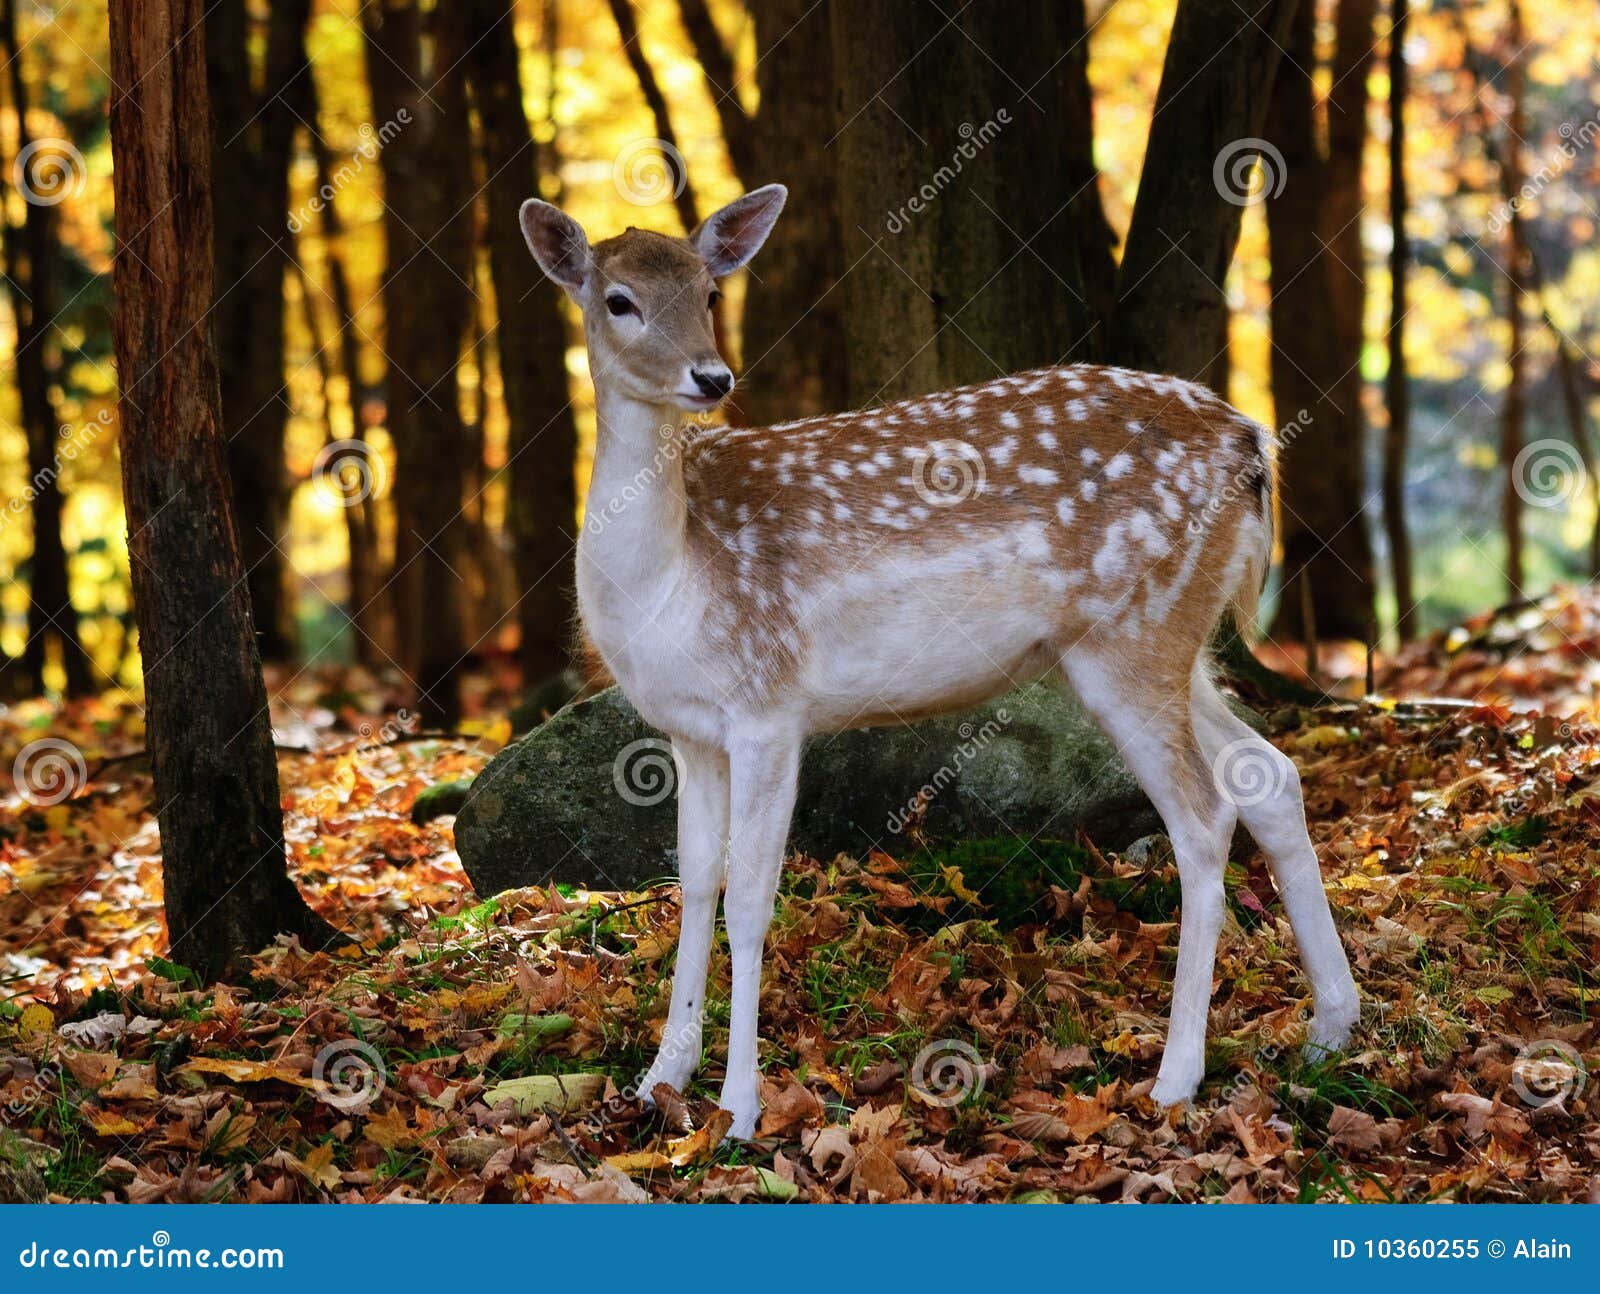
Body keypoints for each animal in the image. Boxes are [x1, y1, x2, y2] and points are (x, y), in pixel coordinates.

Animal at [518, 184, 1360, 1139]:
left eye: (707, 292)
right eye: (619, 300)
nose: (712, 377)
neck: (672, 581)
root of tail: (1252, 442)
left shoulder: (769, 702)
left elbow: (750, 897)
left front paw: (737, 1111)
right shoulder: (689, 729)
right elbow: (693, 884)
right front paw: (660, 1080)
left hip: (1135, 634)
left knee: (1204, 815)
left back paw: (1175, 1078)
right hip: (1166, 640)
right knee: (1269, 773)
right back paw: (1331, 1028)